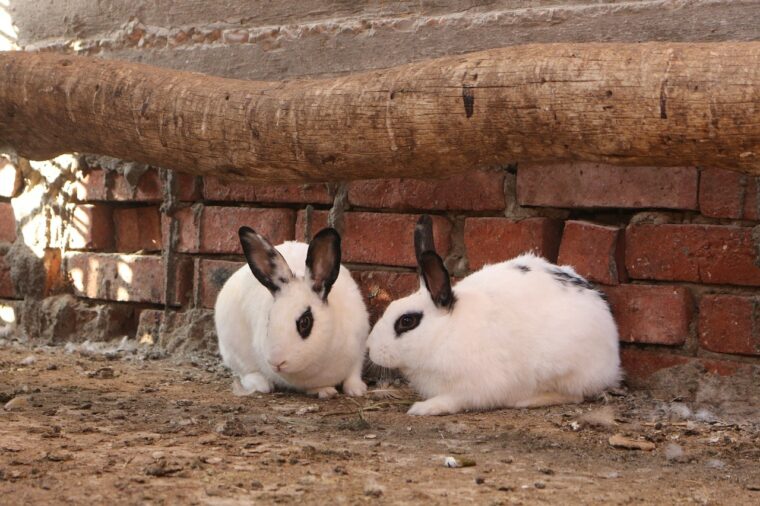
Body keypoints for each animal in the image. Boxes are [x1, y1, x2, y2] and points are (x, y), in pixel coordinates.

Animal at [215, 226, 370, 399]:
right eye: (269, 319)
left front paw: (357, 389)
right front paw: (325, 391)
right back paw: (262, 384)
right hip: (234, 350)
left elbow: (354, 373)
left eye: (305, 322)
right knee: (245, 372)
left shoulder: (360, 349)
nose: (276, 362)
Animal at [367, 215, 621, 415]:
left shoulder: (476, 387)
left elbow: (454, 400)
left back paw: (528, 400)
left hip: (566, 370)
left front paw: (424, 408)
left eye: (407, 321)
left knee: (575, 395)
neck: (446, 332)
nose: (369, 348)